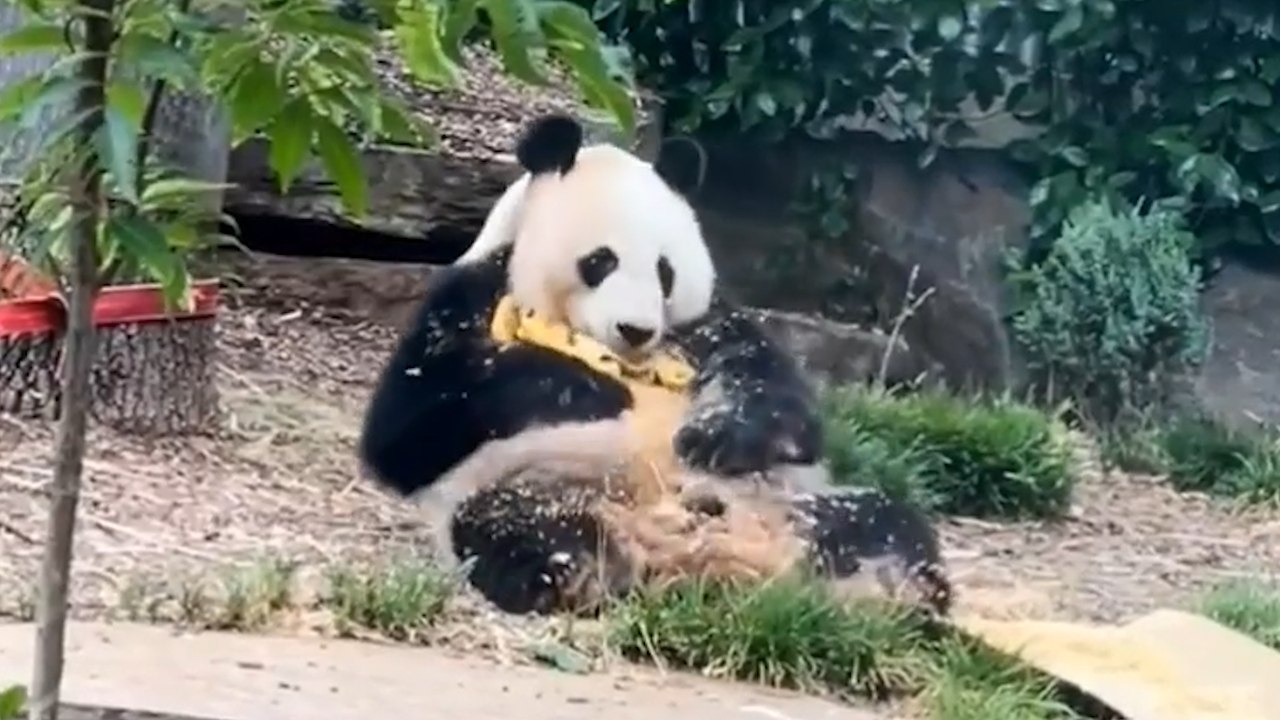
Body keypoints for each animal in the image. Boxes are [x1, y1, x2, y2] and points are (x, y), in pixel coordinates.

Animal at [358, 113, 952, 617]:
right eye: (601, 261)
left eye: (666, 271)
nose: (637, 330)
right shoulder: (467, 296)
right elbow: (409, 427)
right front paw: (585, 385)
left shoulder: (705, 322)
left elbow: (774, 392)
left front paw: (712, 436)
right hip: (537, 482)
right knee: (510, 523)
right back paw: (578, 570)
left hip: (793, 500)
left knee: (887, 521)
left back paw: (907, 590)